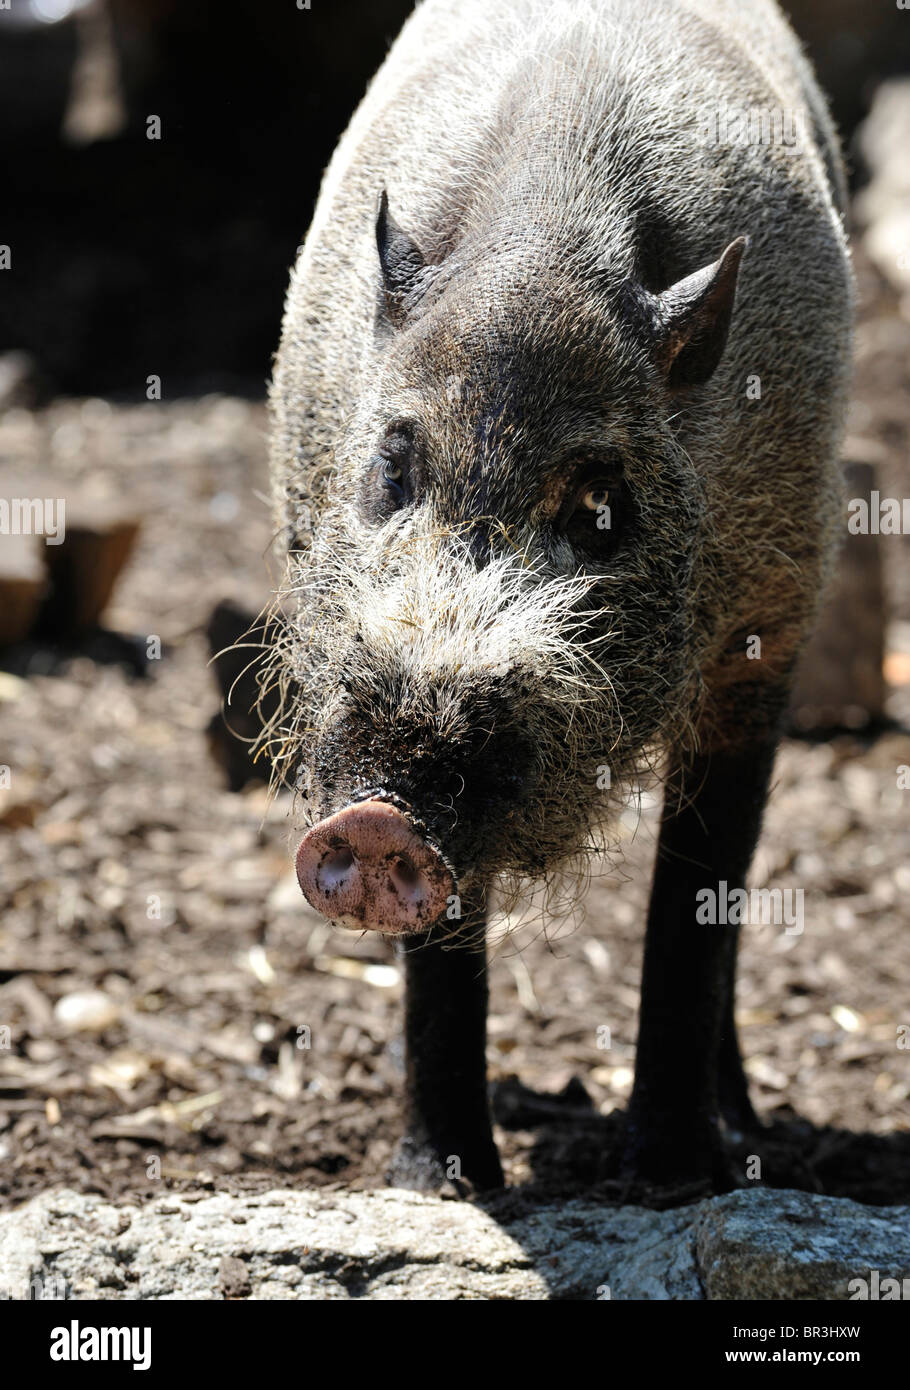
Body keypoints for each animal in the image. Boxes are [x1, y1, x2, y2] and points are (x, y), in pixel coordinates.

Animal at [266, 0, 852, 1196]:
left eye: (600, 504)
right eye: (391, 466)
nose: (375, 818)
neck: (545, 240)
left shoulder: (763, 634)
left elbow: (692, 904)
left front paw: (675, 1183)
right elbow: (446, 944)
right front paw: (442, 1187)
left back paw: (744, 1130)